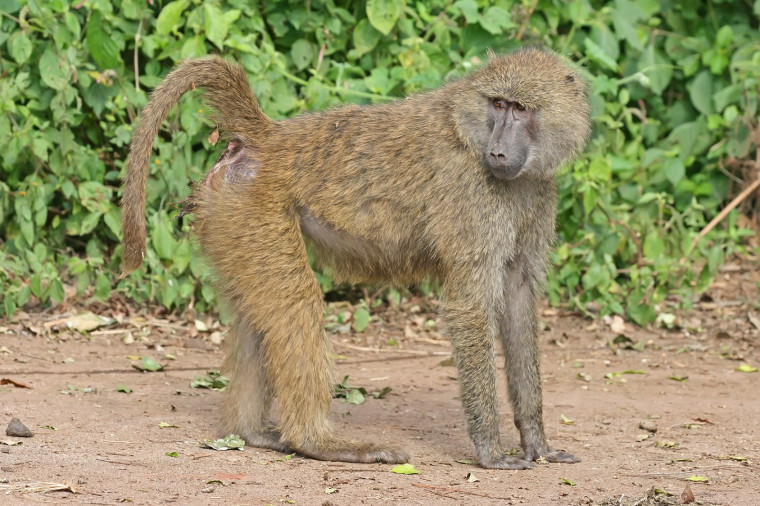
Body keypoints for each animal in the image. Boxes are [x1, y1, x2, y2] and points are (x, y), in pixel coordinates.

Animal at [121, 47, 591, 469]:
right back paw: (317, 442)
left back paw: (252, 433)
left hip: (229, 213)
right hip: (255, 209)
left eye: (521, 108)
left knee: (261, 314)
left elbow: (519, 297)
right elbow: (470, 308)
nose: (497, 152)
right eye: (498, 105)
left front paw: (537, 443)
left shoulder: (537, 192)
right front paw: (491, 452)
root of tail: (269, 136)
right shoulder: (471, 195)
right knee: (295, 305)